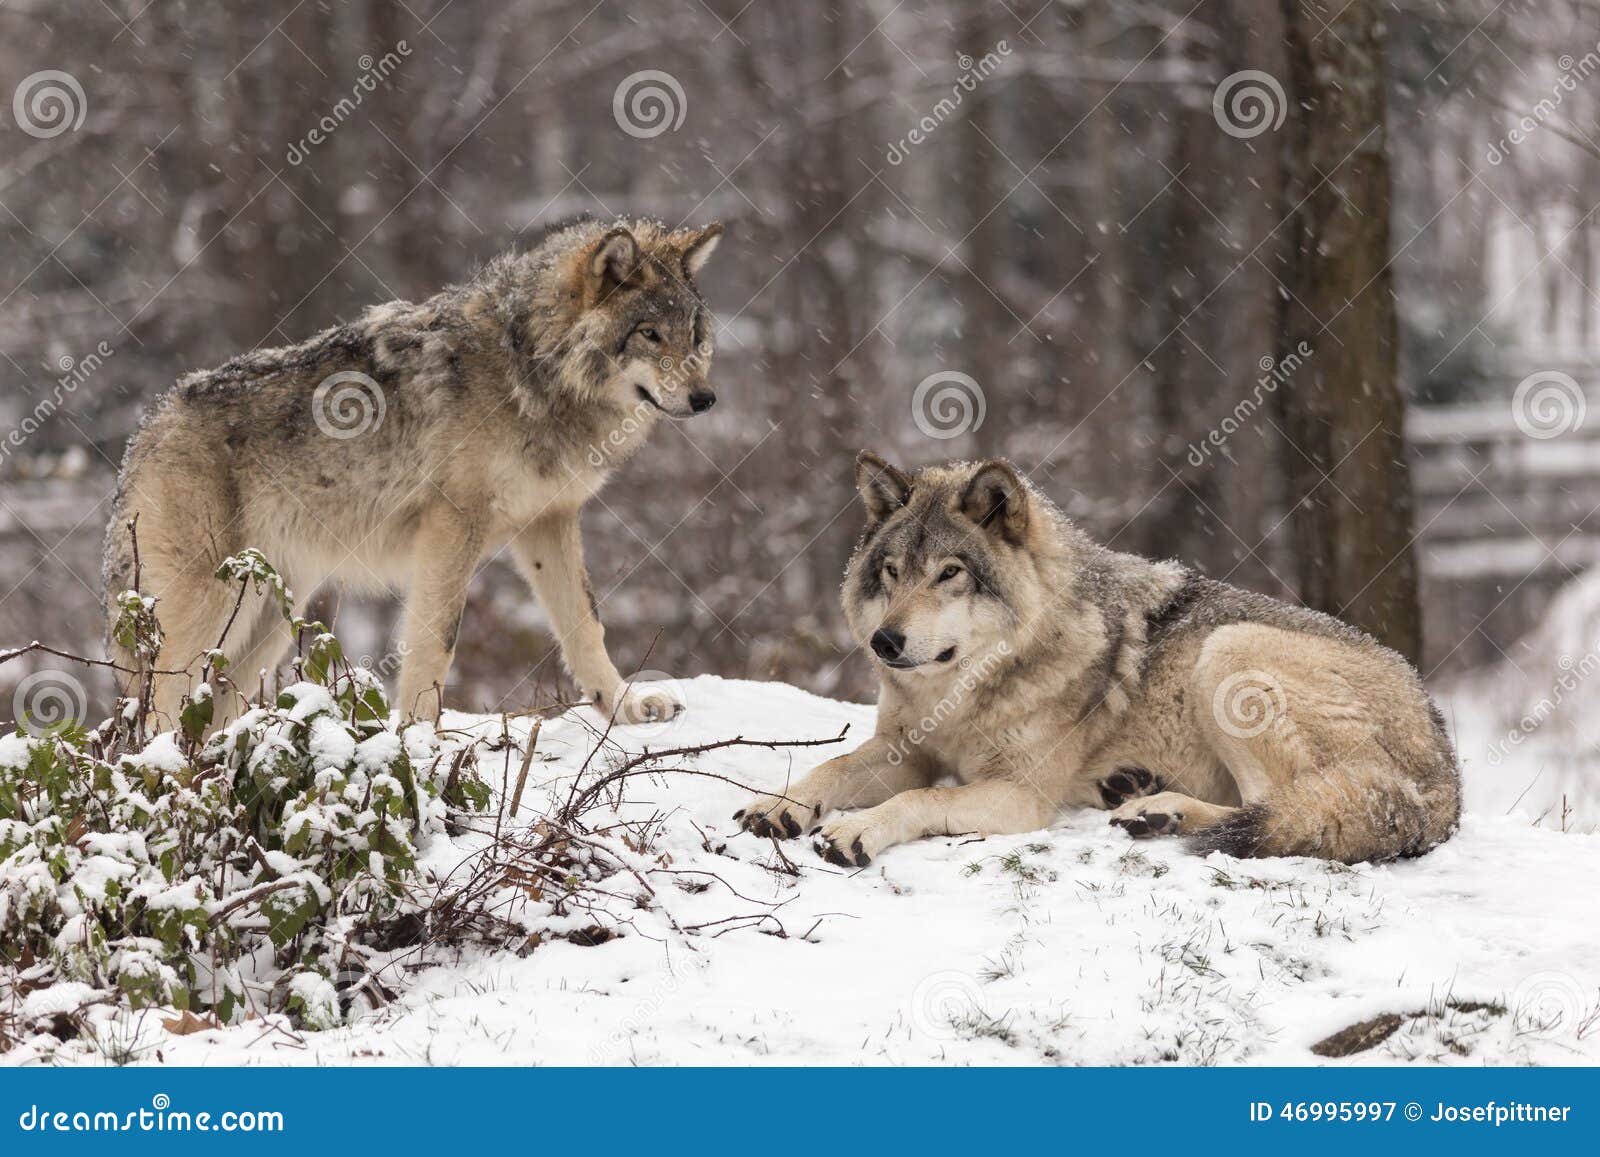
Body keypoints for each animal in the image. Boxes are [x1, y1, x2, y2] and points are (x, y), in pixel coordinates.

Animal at [104, 216, 724, 725]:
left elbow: (585, 623)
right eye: (650, 333)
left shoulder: (549, 521)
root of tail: (148, 427)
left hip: (272, 615)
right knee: (156, 707)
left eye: (695, 335)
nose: (706, 399)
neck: (532, 368)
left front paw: (622, 706)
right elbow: (436, 643)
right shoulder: (451, 527)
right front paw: (421, 742)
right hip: (212, 608)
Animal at [737, 452, 1460, 865]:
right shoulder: (906, 747)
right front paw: (780, 805)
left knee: (1279, 808)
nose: (885, 642)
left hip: (1230, 651)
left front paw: (856, 831)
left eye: (949, 573)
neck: (965, 689)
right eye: (890, 572)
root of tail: (1446, 771)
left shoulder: (1018, 795)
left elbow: (915, 797)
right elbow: (831, 766)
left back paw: (1158, 810)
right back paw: (1138, 794)